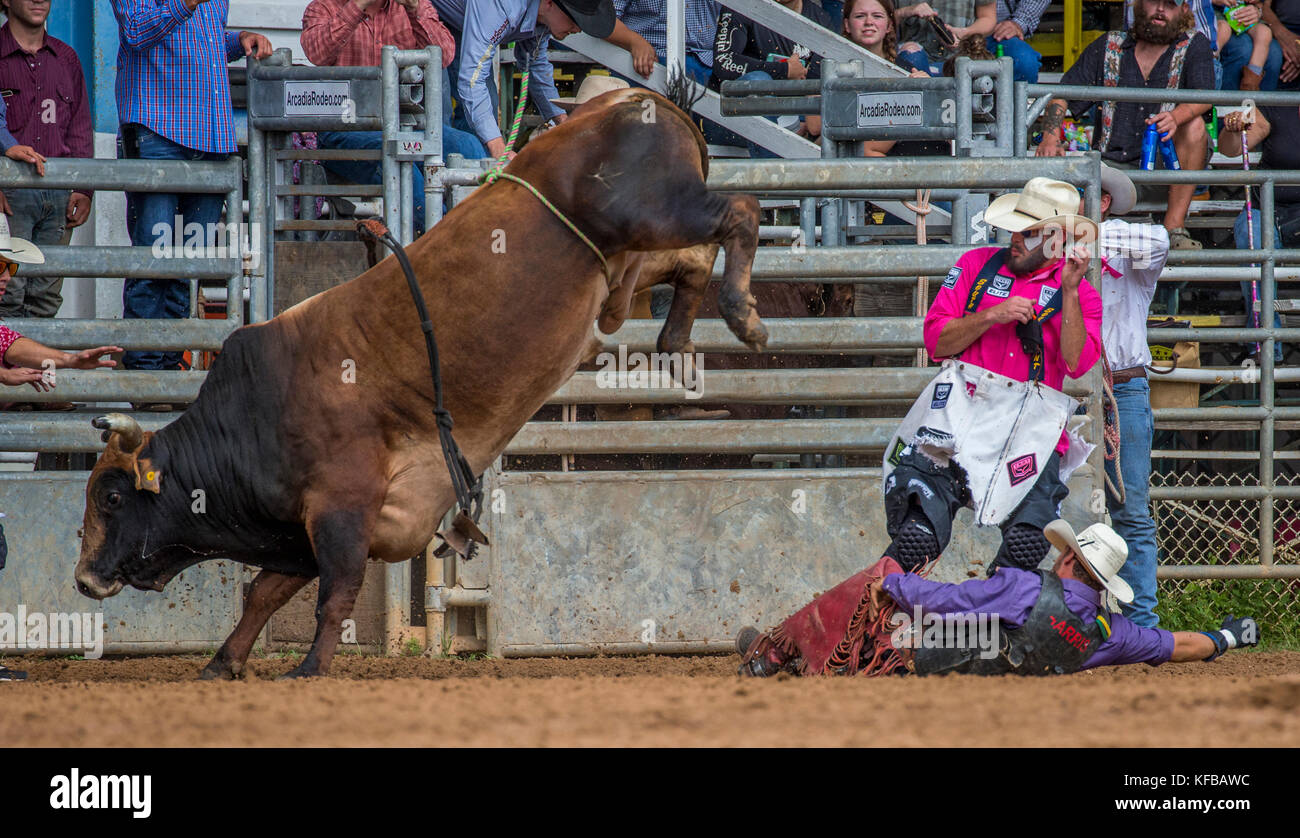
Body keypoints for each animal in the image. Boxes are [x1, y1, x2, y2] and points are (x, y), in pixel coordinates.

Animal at [73, 84, 767, 679]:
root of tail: (636, 97)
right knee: (691, 261)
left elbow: (333, 596)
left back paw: (743, 314)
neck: (260, 412)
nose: (83, 579)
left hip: (653, 211)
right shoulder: (302, 530)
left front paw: (310, 667)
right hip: (630, 259)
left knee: (740, 211)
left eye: (112, 498)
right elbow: (263, 594)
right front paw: (224, 662)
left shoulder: (342, 511)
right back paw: (678, 342)